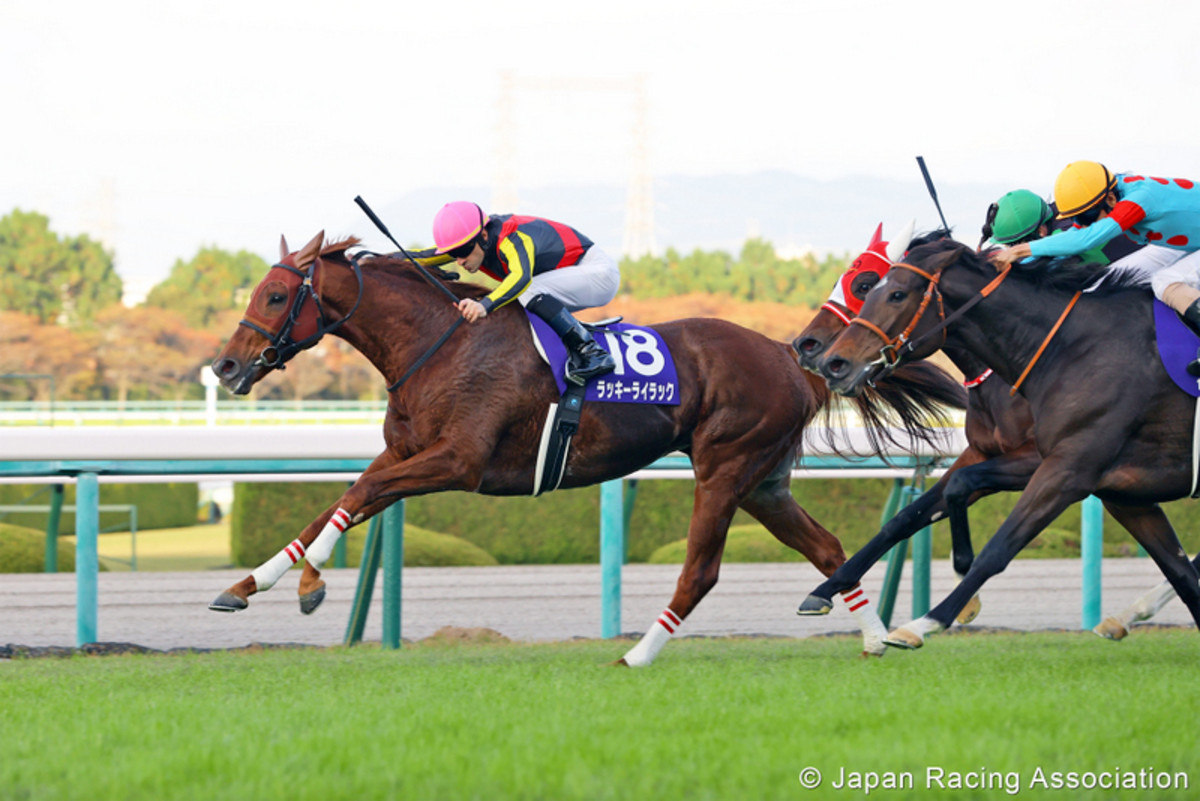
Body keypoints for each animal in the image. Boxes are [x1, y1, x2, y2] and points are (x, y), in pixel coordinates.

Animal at [207, 231, 969, 665]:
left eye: (274, 296)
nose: (225, 366)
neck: (441, 342)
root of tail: (790, 353)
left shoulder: (459, 462)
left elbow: (359, 496)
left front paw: (307, 584)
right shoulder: (406, 454)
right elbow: (337, 504)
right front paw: (252, 584)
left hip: (725, 466)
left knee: (702, 570)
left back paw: (639, 653)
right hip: (763, 481)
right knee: (829, 546)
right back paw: (872, 636)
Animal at [793, 229, 1040, 625]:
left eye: (865, 284)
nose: (807, 345)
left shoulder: (1041, 459)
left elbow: (955, 491)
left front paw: (964, 577)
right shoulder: (981, 453)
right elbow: (910, 515)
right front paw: (827, 587)